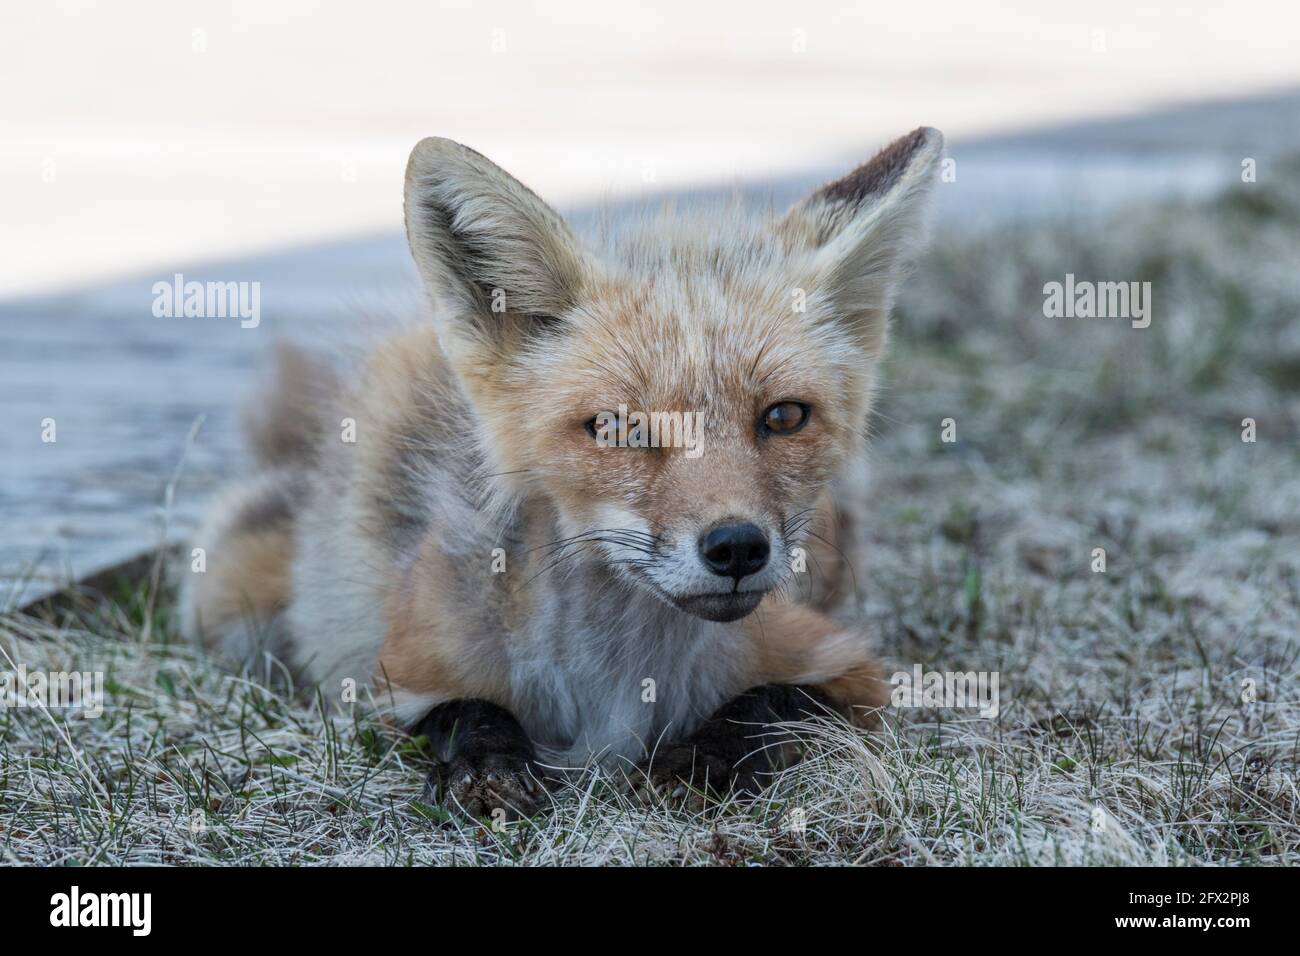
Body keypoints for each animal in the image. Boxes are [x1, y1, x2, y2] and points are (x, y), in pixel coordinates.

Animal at [180, 126, 945, 818]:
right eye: (616, 428)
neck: (614, 681)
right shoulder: (401, 675)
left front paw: (702, 760)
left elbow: (771, 703)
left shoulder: (851, 669)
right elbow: (470, 712)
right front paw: (489, 767)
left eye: (783, 417)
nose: (737, 548)